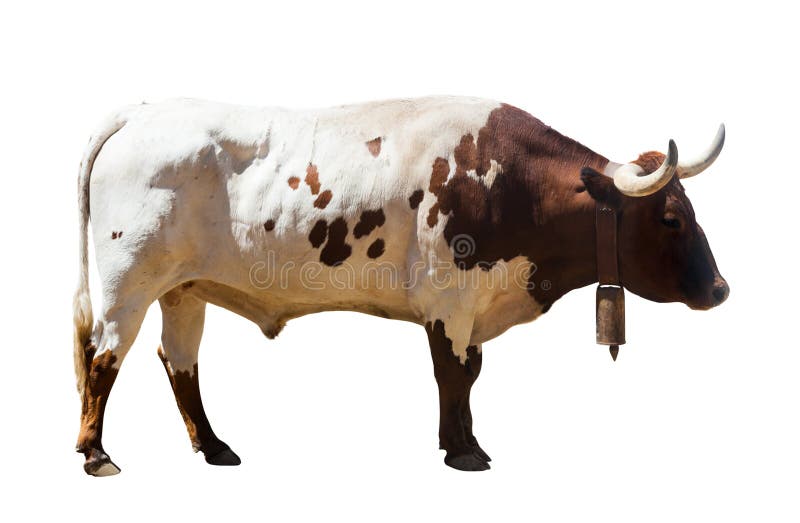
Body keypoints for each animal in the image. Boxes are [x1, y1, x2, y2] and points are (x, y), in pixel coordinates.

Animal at [73, 96, 728, 476]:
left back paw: (213, 447)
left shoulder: (473, 306)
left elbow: (470, 373)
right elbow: (453, 374)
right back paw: (97, 454)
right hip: (128, 283)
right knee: (103, 357)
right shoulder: (449, 298)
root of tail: (143, 114)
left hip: (183, 288)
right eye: (671, 218)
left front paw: (462, 441)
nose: (721, 290)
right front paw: (463, 452)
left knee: (179, 361)